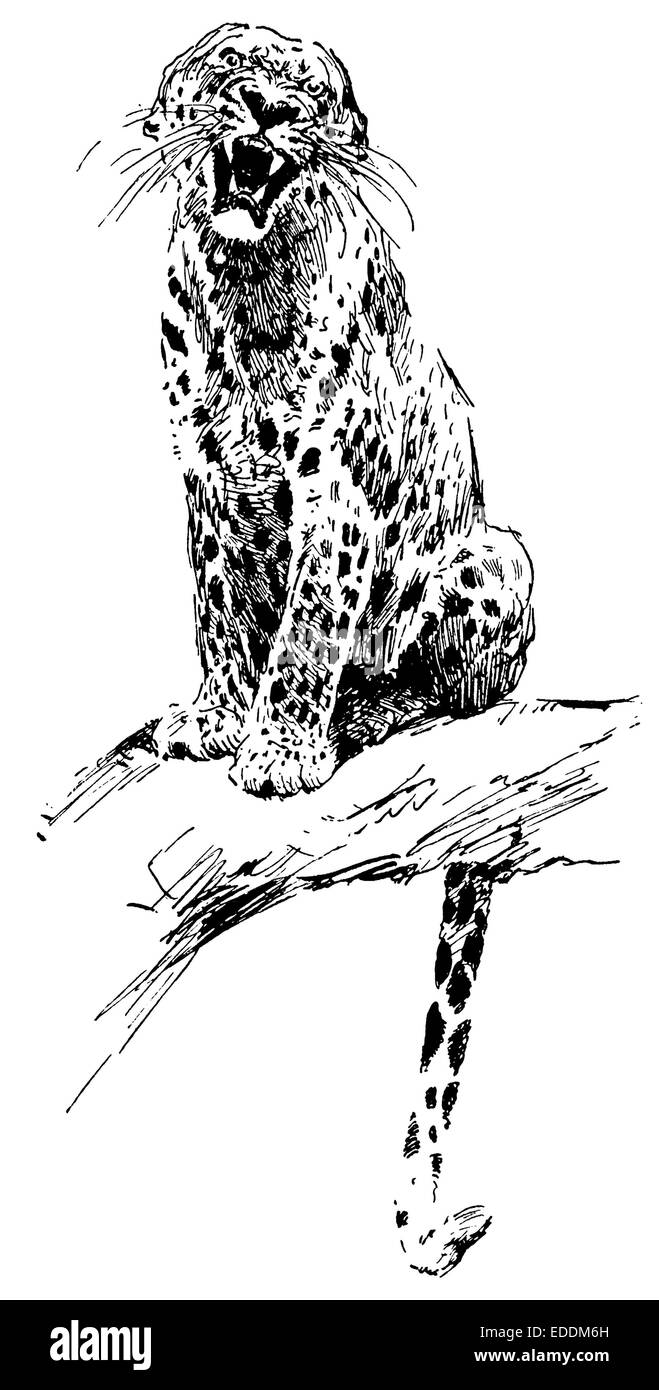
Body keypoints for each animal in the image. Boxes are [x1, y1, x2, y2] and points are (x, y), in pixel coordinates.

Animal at [131, 20, 534, 797]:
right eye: (228, 66)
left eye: (313, 93)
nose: (269, 109)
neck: (244, 284)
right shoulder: (205, 477)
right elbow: (219, 608)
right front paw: (217, 717)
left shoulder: (336, 491)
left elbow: (307, 628)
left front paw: (281, 752)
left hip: (494, 556)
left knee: (446, 687)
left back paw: (373, 709)